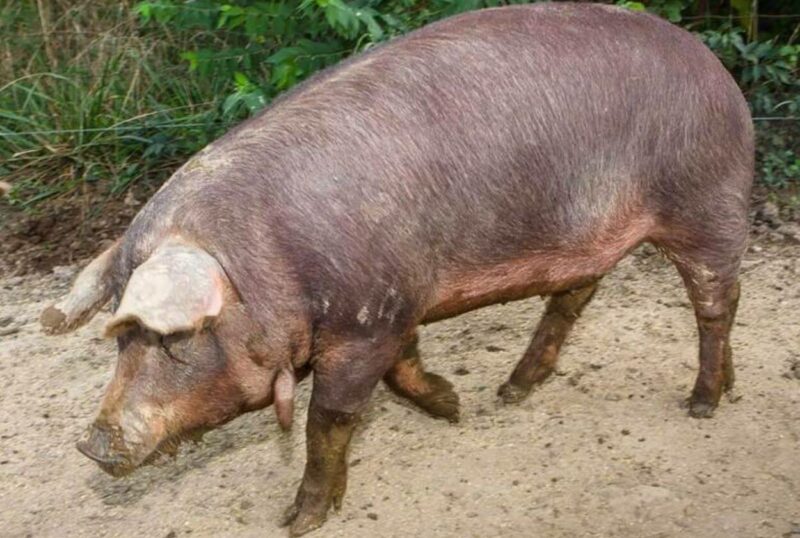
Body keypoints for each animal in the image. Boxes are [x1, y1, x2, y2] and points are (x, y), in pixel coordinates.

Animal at [41, 3, 753, 535]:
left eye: (174, 340)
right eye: (121, 339)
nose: (89, 445)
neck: (266, 264)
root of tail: (716, 68)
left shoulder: (364, 321)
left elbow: (328, 419)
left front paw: (298, 521)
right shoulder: (393, 299)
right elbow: (403, 367)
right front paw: (455, 406)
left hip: (708, 205)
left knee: (718, 302)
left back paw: (703, 404)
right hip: (595, 238)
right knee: (575, 298)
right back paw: (511, 392)